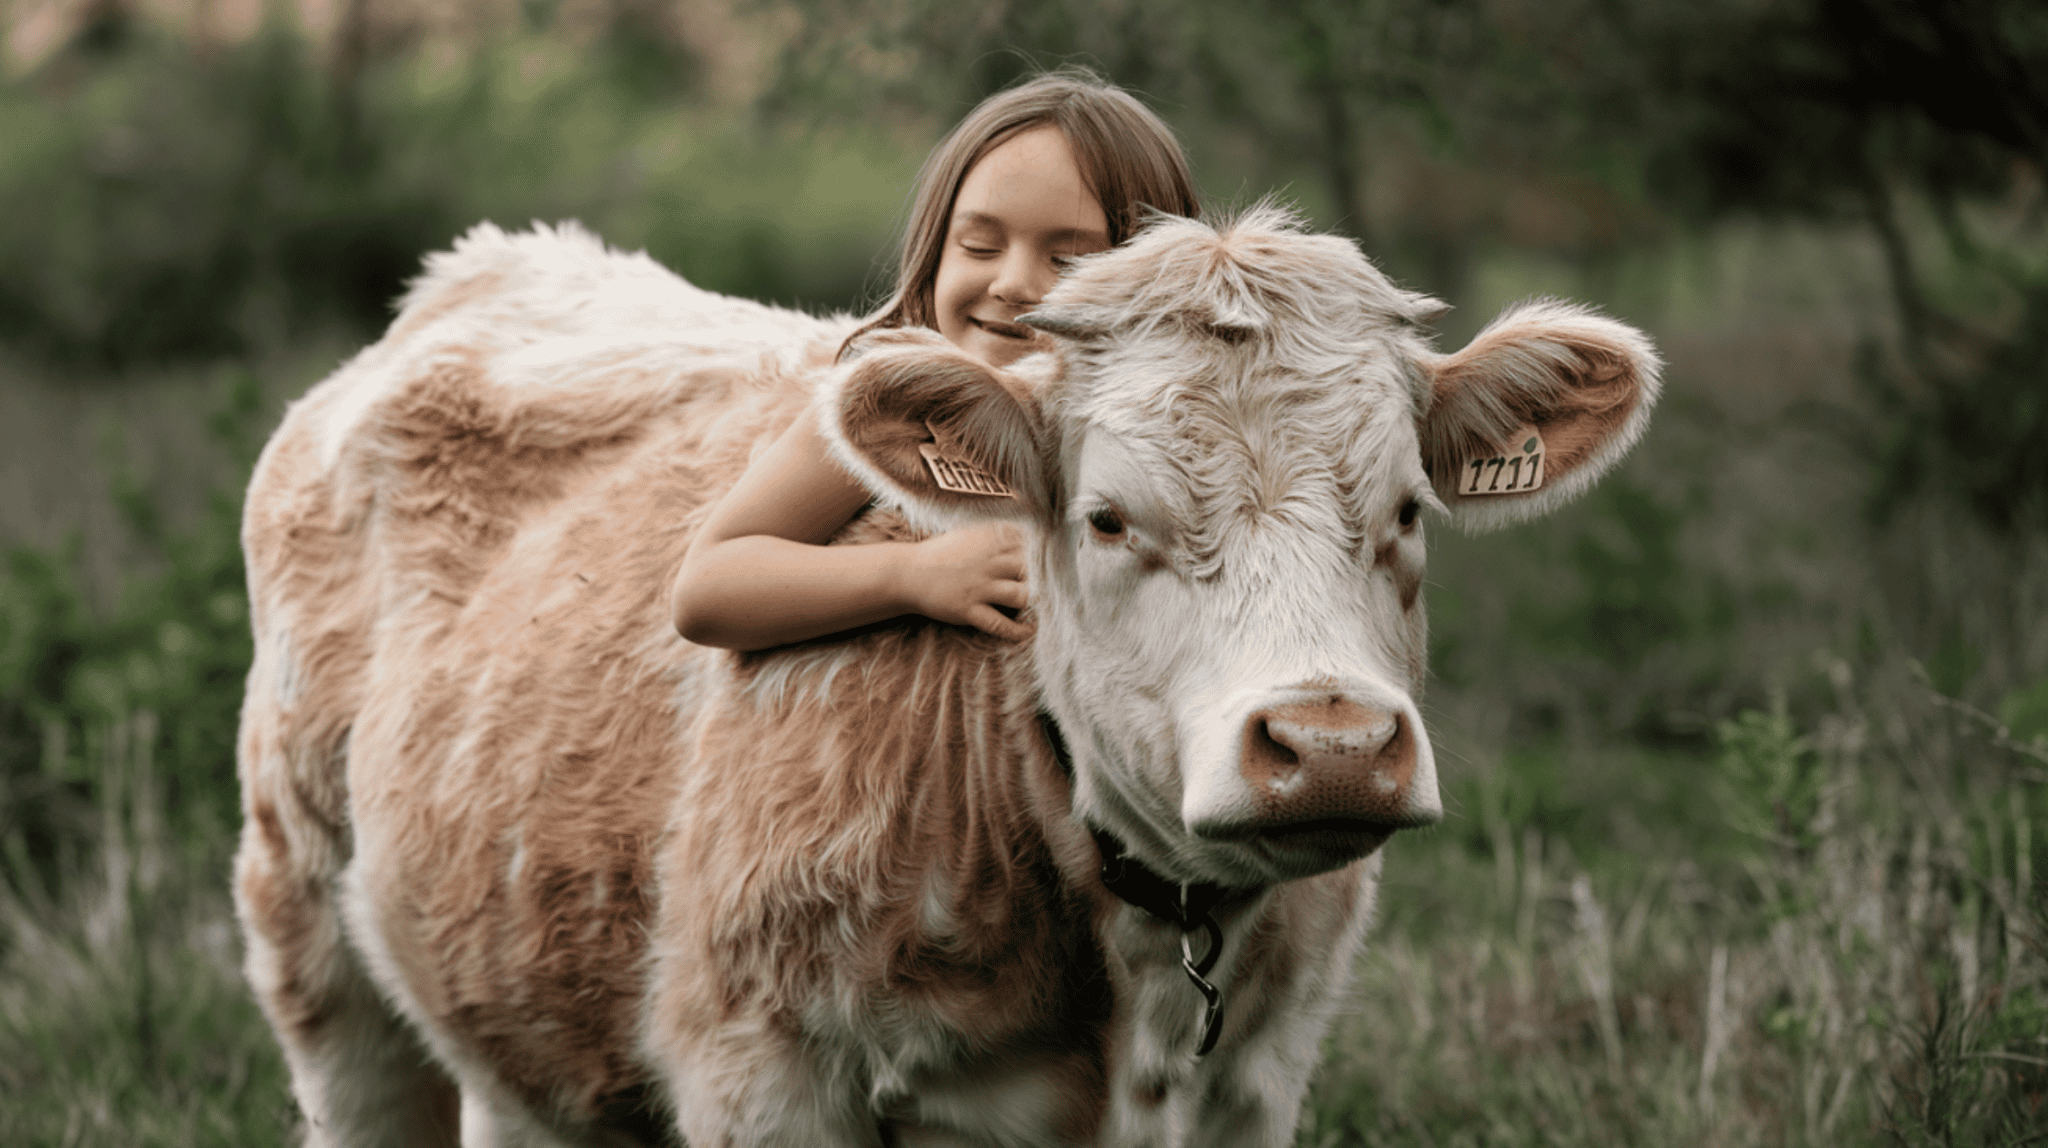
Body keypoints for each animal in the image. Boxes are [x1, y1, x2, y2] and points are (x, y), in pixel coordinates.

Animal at [233, 205, 1659, 1147]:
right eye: (1103, 517)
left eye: (1408, 508)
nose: (1330, 746)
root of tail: (492, 260)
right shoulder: (761, 1068)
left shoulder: (1258, 1079)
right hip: (314, 950)